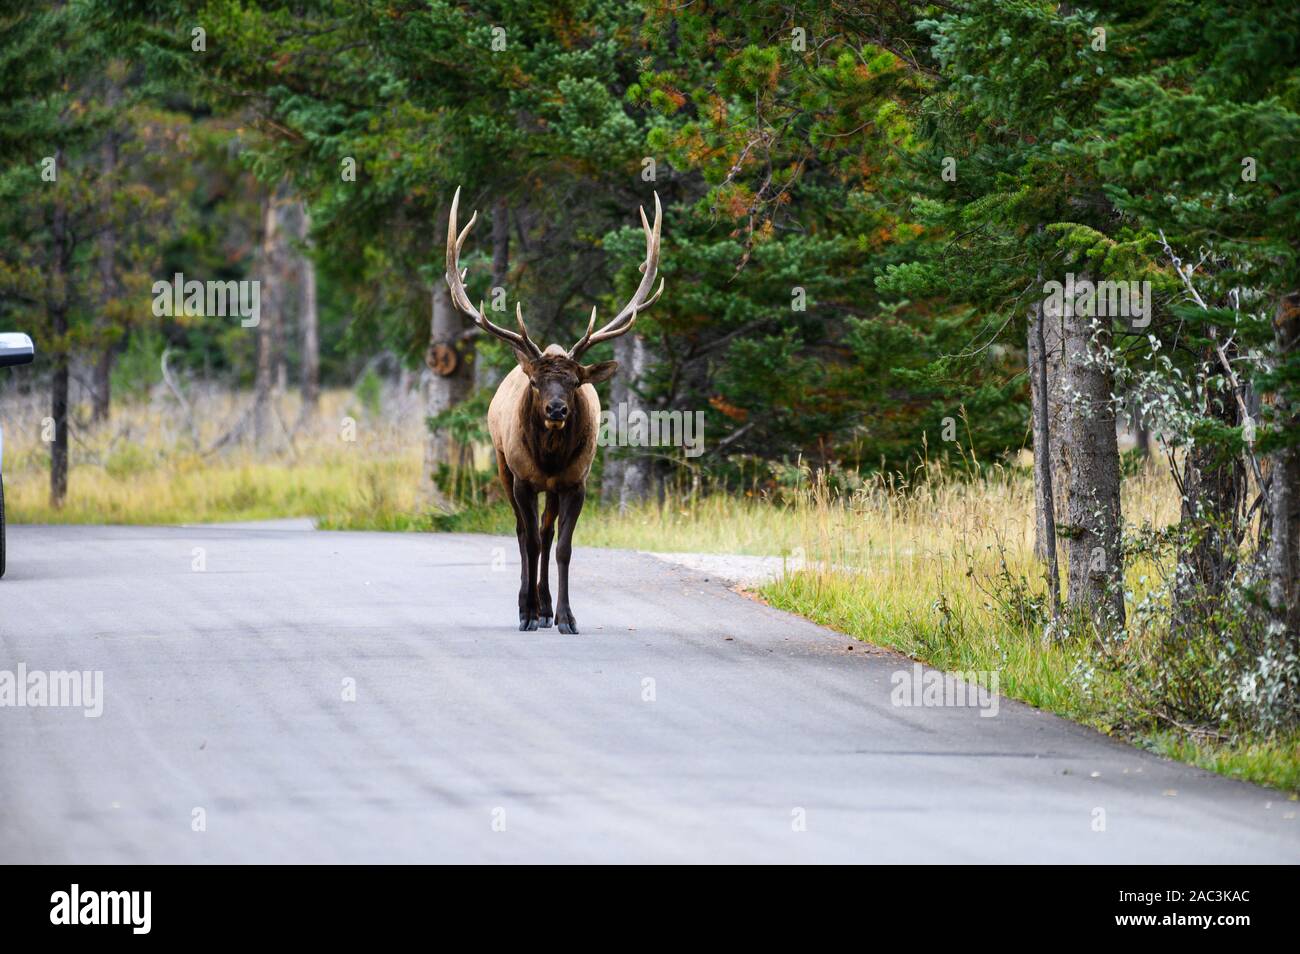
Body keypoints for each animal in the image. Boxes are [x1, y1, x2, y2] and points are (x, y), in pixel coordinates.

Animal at [445, 187, 663, 634]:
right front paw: (527, 612)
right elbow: (526, 538)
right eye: (535, 382)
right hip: (502, 464)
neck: (549, 457)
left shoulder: (574, 482)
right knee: (522, 532)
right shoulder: (523, 478)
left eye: (576, 382)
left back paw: (545, 607)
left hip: (551, 488)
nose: (558, 409)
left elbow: (562, 547)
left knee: (546, 535)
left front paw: (564, 616)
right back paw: (526, 607)